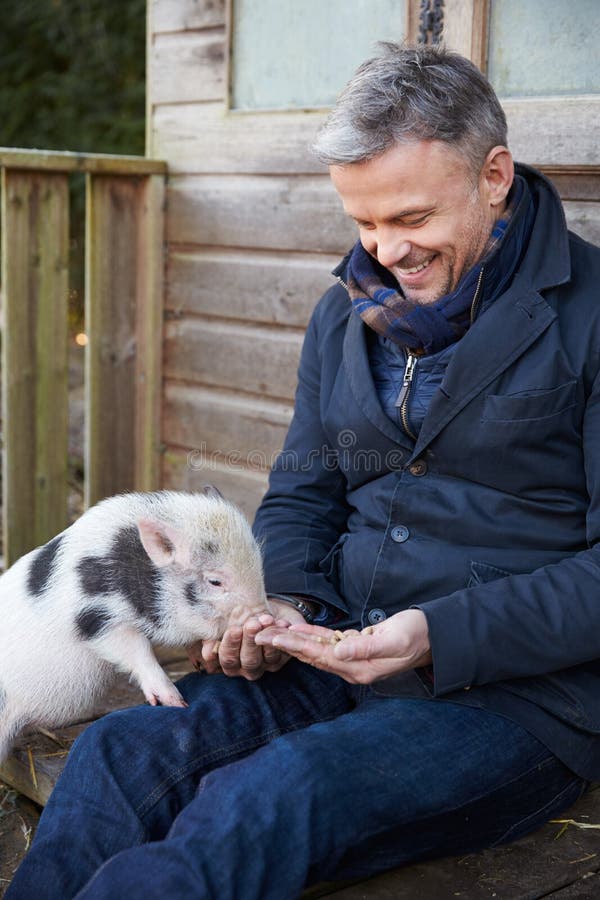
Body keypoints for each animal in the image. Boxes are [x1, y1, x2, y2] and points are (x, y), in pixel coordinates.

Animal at [0, 487, 268, 762]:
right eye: (215, 581)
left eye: (258, 565)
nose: (264, 618)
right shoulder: (97, 616)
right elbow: (138, 650)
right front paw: (175, 702)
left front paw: (201, 661)